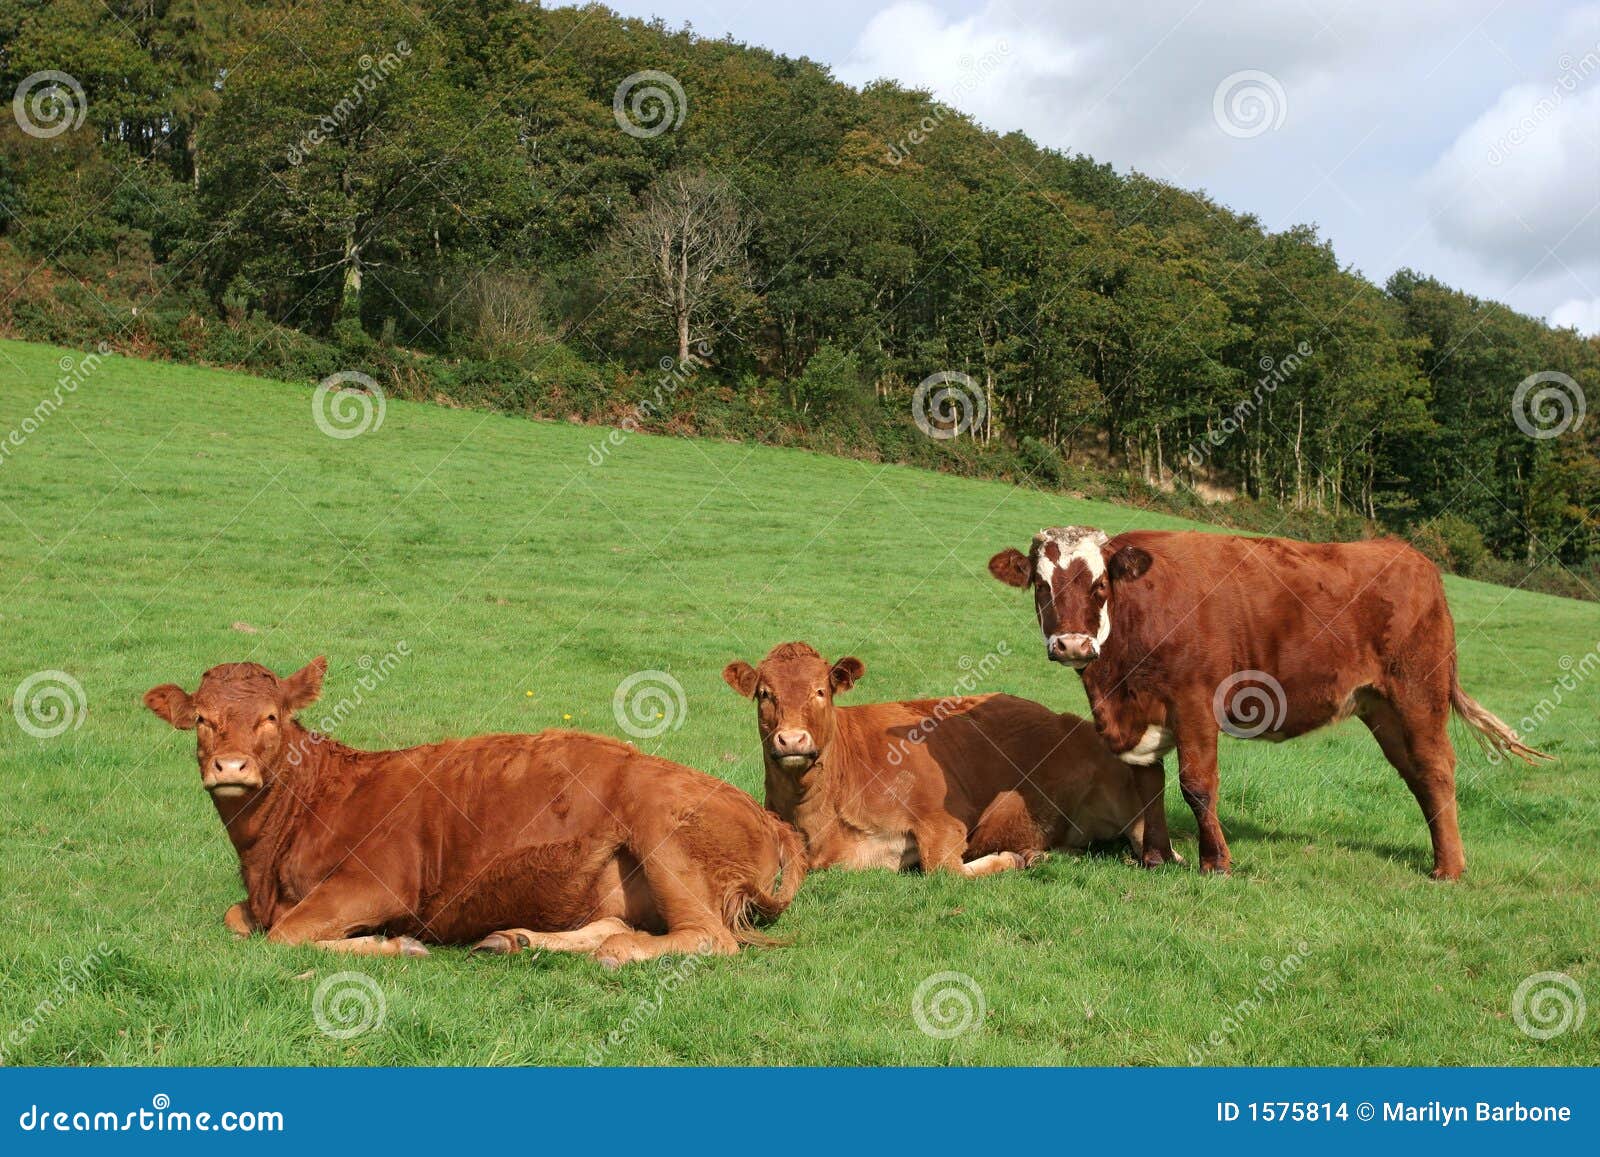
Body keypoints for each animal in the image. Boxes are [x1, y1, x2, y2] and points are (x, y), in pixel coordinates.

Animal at [143, 658, 804, 966]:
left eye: (271, 718)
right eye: (202, 719)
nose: (231, 767)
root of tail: (770, 818)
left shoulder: (378, 883)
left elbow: (283, 937)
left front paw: (395, 947)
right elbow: (238, 920)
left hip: (663, 833)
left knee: (708, 937)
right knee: (616, 923)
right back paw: (518, 939)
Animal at [721, 642, 1159, 873]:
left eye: (820, 691)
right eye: (765, 694)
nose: (792, 740)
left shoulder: (941, 821)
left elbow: (946, 871)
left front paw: (1008, 860)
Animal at [989, 527, 1549, 879]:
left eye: (1101, 583)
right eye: (1040, 585)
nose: (1071, 645)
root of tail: (1409, 554)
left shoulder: (1194, 701)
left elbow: (1197, 785)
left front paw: (1216, 863)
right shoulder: (1141, 720)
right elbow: (1149, 786)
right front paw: (1156, 858)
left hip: (1418, 692)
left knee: (1435, 769)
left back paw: (1448, 869)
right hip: (1381, 706)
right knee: (1416, 775)